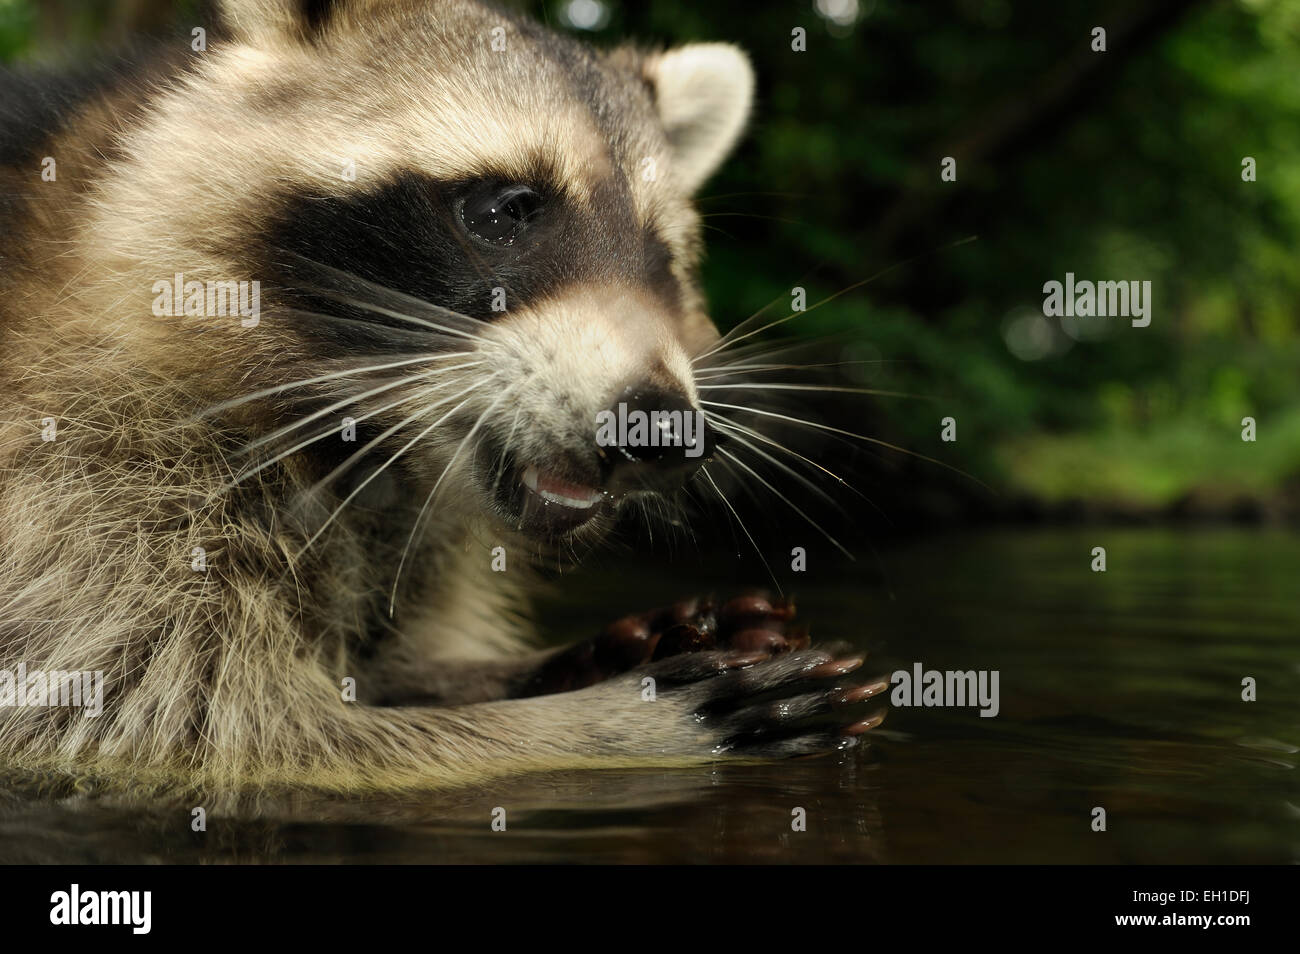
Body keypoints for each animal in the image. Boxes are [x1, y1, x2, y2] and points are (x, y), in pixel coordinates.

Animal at [0, 0, 880, 793]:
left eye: (663, 261)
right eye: (506, 210)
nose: (663, 433)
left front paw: (573, 661)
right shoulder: (81, 470)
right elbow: (197, 726)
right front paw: (609, 720)